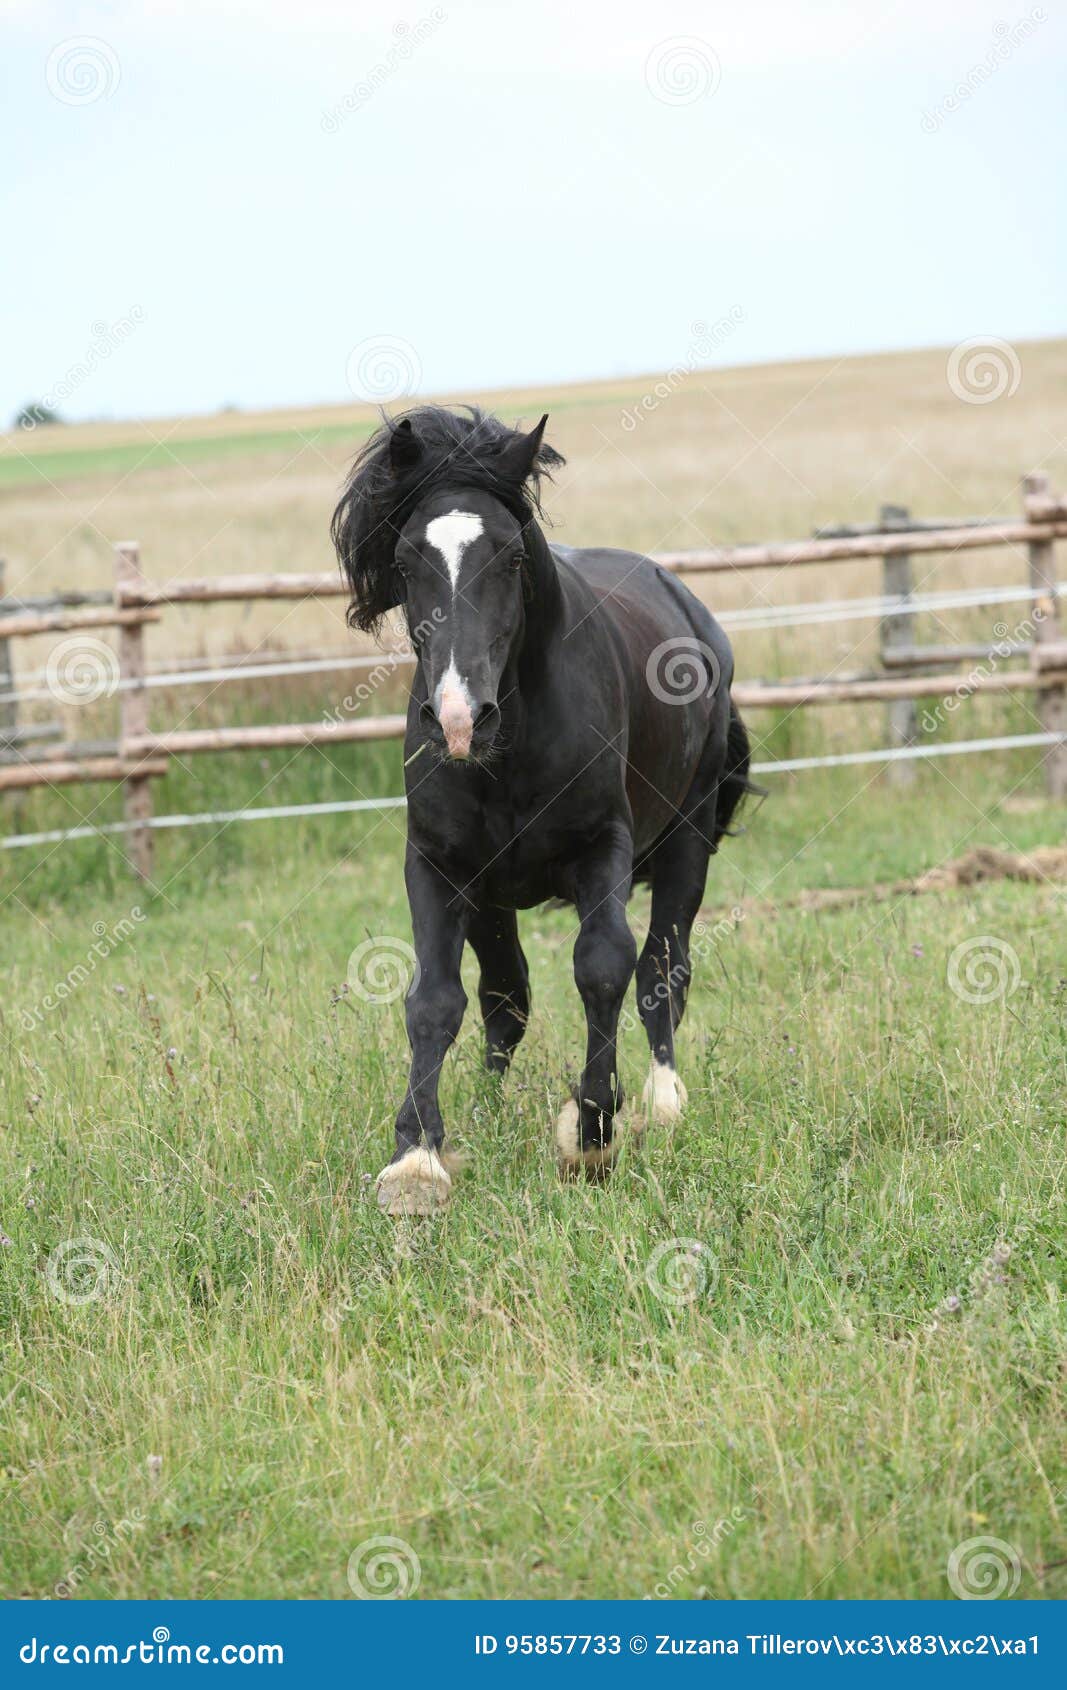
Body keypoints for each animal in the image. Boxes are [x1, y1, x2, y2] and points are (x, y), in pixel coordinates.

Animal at [331, 405, 754, 1216]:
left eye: (509, 557)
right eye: (406, 561)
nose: (460, 720)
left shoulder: (601, 851)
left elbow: (603, 967)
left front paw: (591, 1134)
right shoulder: (442, 868)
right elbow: (439, 1001)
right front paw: (417, 1159)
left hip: (686, 843)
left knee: (663, 972)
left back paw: (661, 1102)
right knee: (507, 1002)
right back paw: (490, 1110)